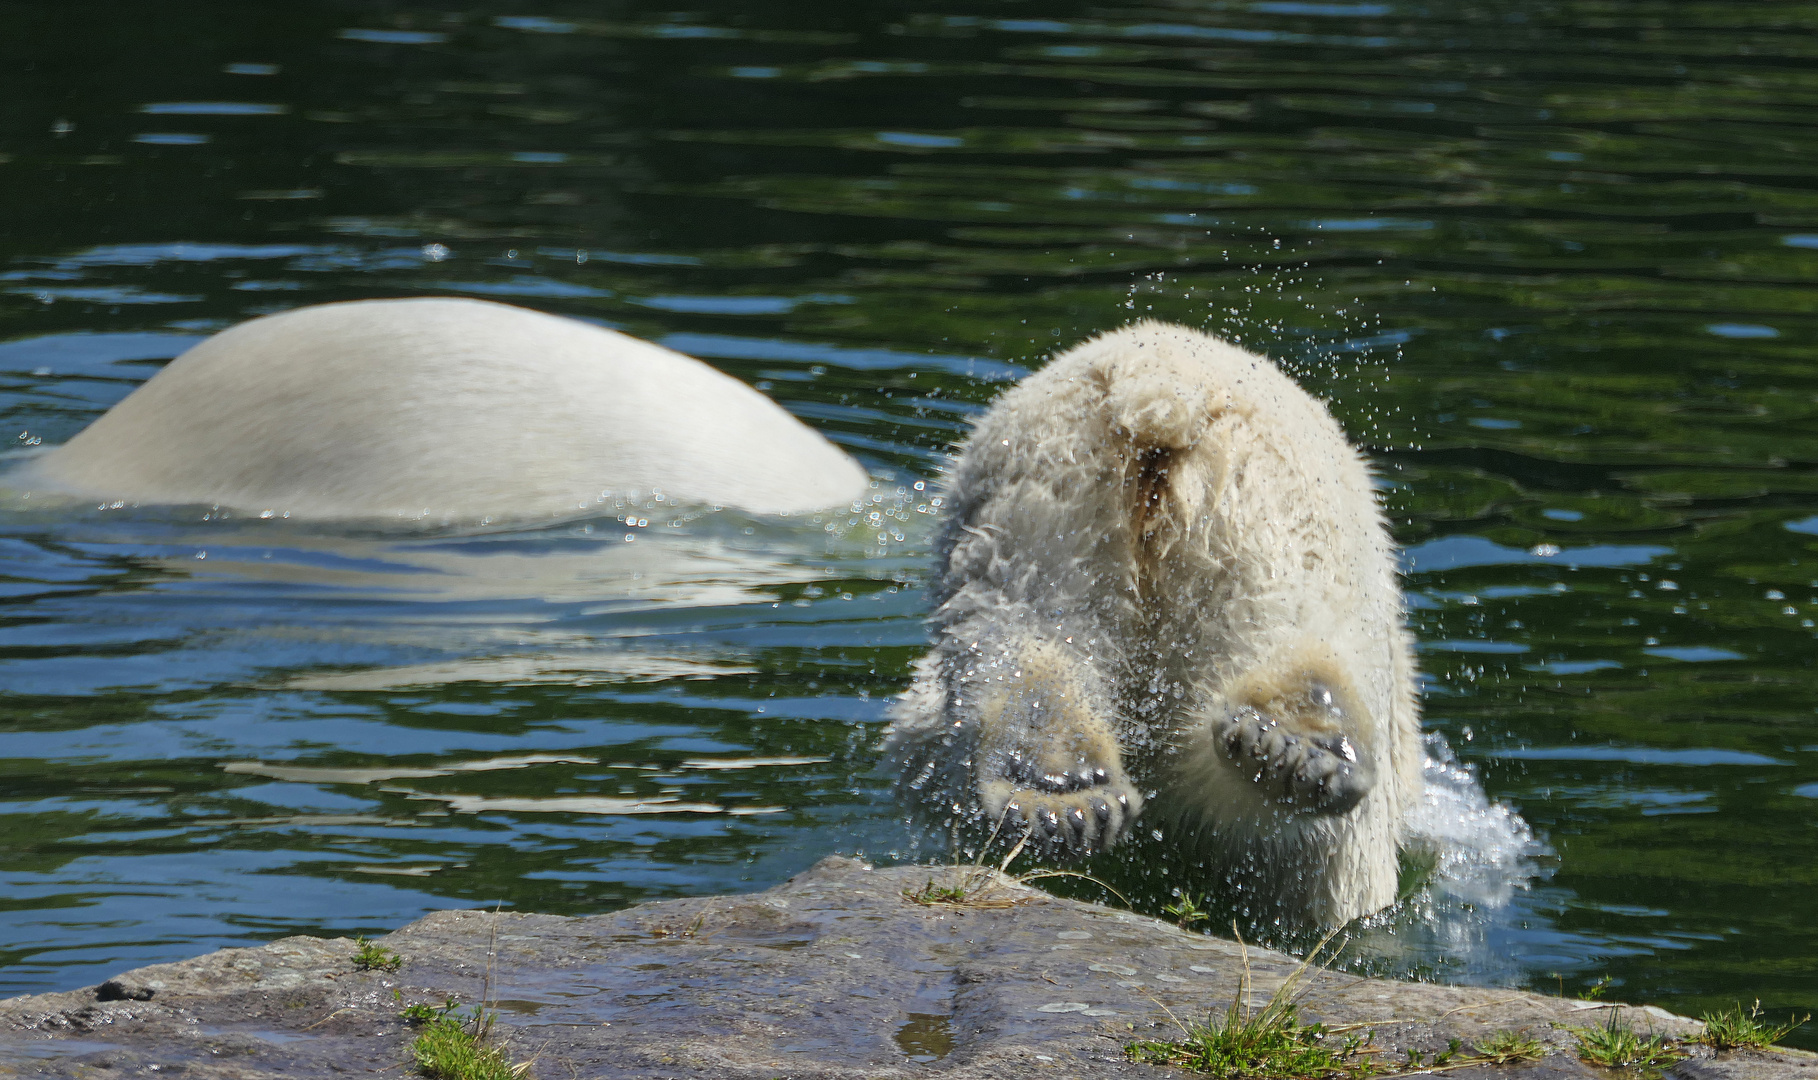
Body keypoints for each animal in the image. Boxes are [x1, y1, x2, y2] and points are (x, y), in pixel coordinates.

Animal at [887, 320, 1425, 923]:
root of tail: (1161, 389)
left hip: (1045, 491)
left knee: (1030, 621)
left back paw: (1063, 792)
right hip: (1275, 500)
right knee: (1299, 608)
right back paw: (1300, 746)